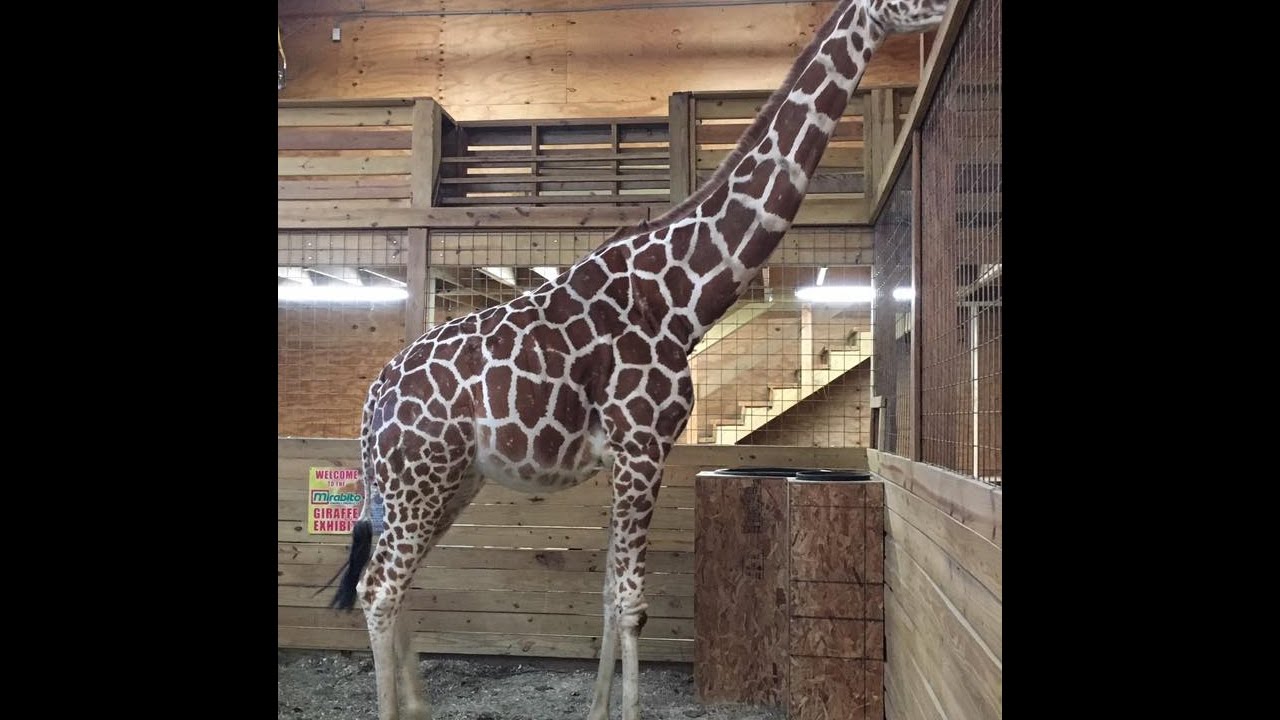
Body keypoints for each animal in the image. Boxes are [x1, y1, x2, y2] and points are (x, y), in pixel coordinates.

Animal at [326, 1, 949, 718]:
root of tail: (373, 399)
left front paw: (597, 709)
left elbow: (607, 595)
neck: (678, 297)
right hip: (420, 477)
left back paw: (420, 706)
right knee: (379, 587)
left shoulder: (627, 457)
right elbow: (630, 604)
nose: (942, 12)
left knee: (400, 579)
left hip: (441, 481)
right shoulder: (643, 446)